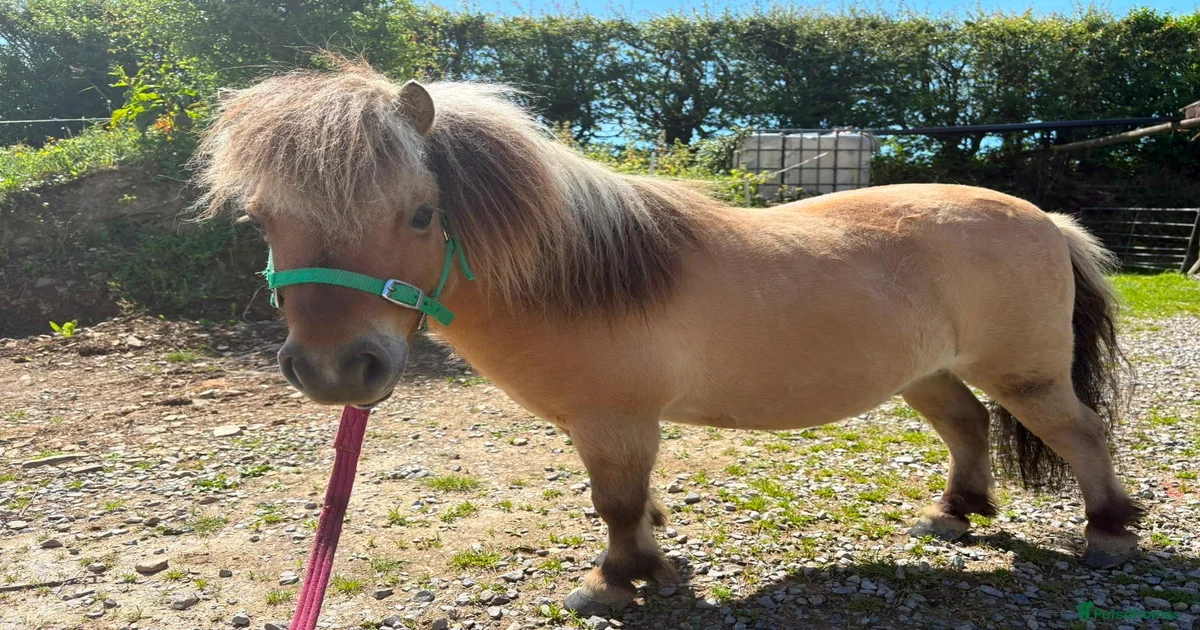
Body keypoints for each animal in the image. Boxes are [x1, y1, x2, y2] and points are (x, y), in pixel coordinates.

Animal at [193, 58, 1142, 616]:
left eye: (420, 214)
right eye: (260, 219)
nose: (334, 371)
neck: (577, 275)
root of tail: (1046, 219)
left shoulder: (615, 419)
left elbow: (614, 504)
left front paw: (614, 584)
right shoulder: (609, 426)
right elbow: (631, 501)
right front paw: (653, 562)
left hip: (1025, 373)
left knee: (1080, 433)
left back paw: (1106, 534)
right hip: (925, 372)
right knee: (966, 425)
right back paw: (954, 515)